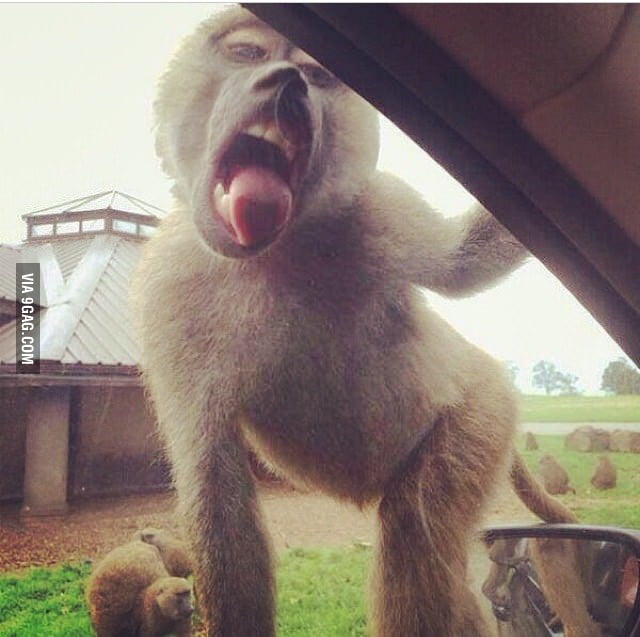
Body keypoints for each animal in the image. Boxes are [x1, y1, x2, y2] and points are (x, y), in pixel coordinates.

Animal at [131, 7, 576, 635]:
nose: (288, 82)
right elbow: (217, 495)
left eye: (316, 75)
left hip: (482, 407)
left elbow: (464, 262)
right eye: (247, 53)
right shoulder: (169, 297)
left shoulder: (379, 210)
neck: (277, 252)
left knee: (417, 529)